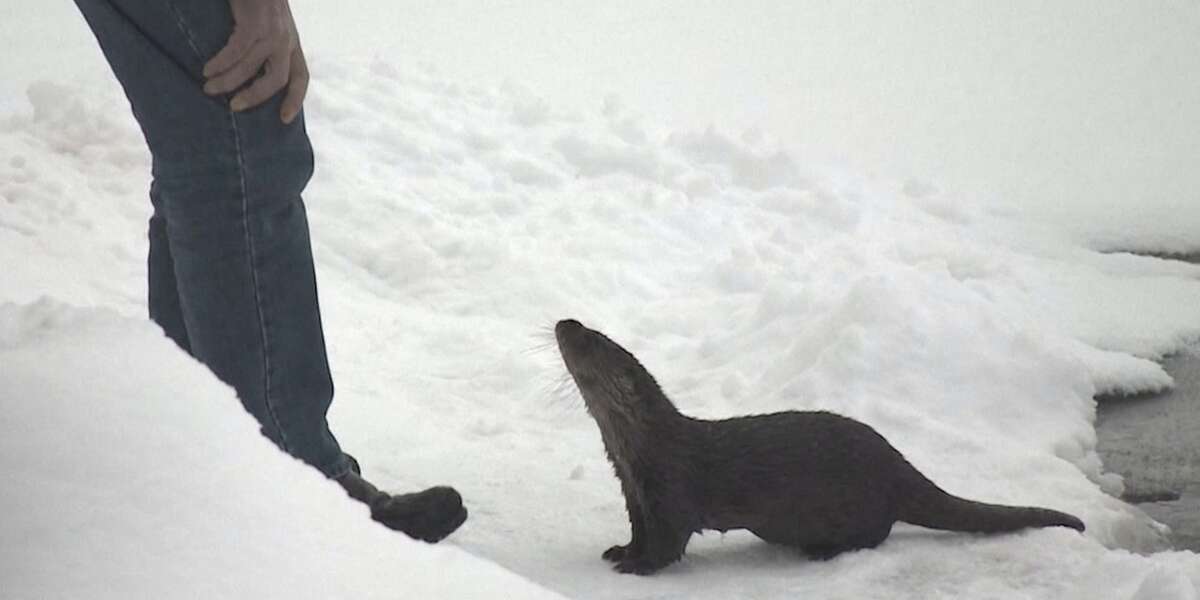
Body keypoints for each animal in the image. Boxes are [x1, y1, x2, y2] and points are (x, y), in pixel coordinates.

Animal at [554, 319, 1084, 575]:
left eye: (591, 340)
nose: (566, 321)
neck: (648, 448)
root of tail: (897, 463)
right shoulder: (637, 494)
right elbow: (640, 532)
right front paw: (620, 550)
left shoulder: (672, 493)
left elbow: (668, 546)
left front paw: (637, 567)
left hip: (858, 505)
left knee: (878, 534)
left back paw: (823, 552)